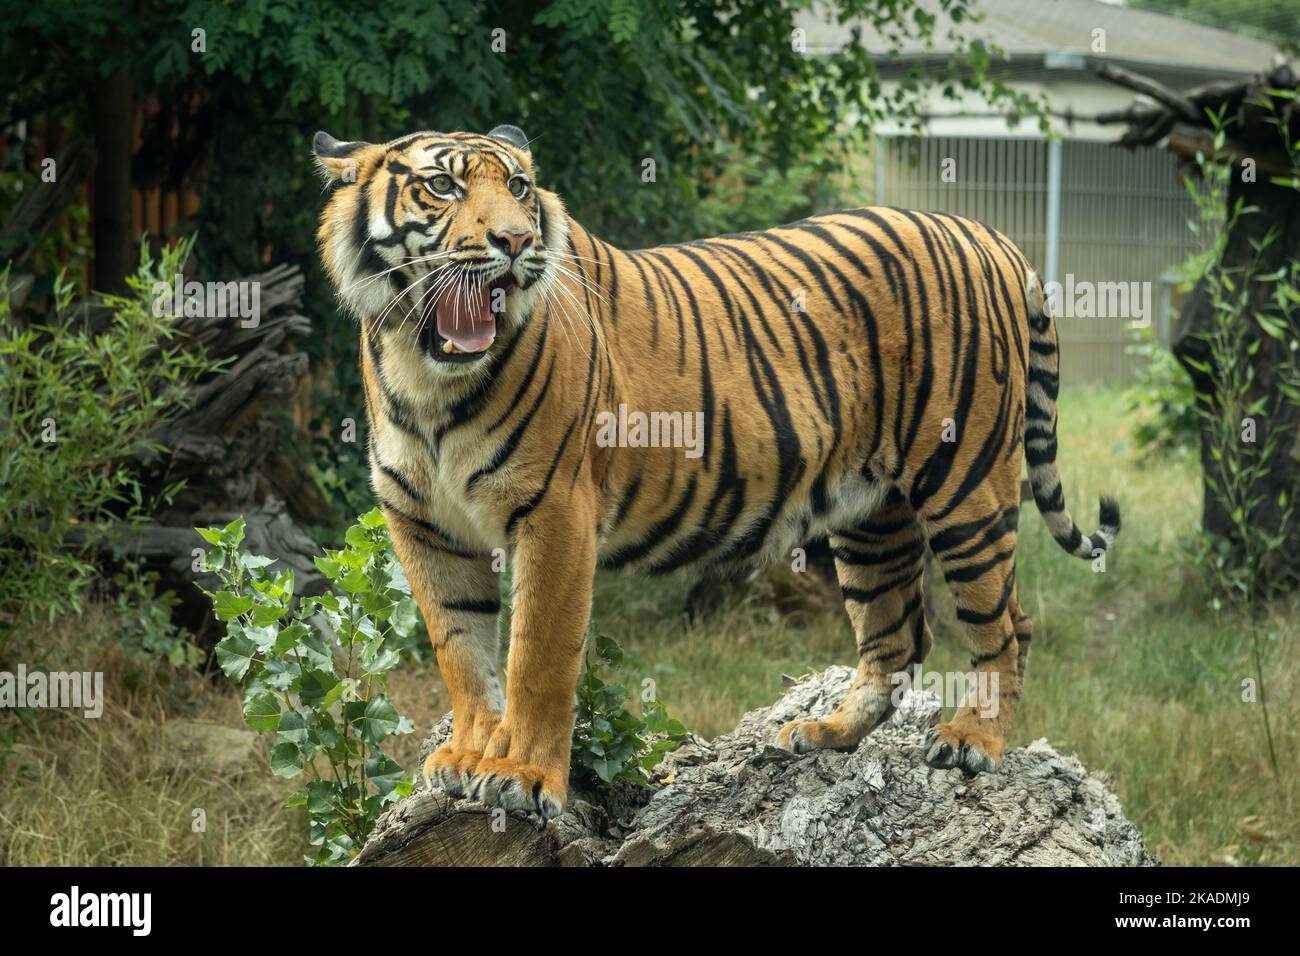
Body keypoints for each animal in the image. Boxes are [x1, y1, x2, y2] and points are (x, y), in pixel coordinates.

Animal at [313, 124, 1119, 820]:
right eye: (442, 187)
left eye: (519, 187)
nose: (515, 240)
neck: (424, 373)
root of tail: (990, 236)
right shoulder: (424, 525)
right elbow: (460, 649)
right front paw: (469, 755)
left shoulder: (555, 514)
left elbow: (536, 658)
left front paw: (520, 776)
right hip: (872, 514)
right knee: (897, 638)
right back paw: (825, 735)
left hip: (967, 483)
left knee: (1006, 624)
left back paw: (973, 742)